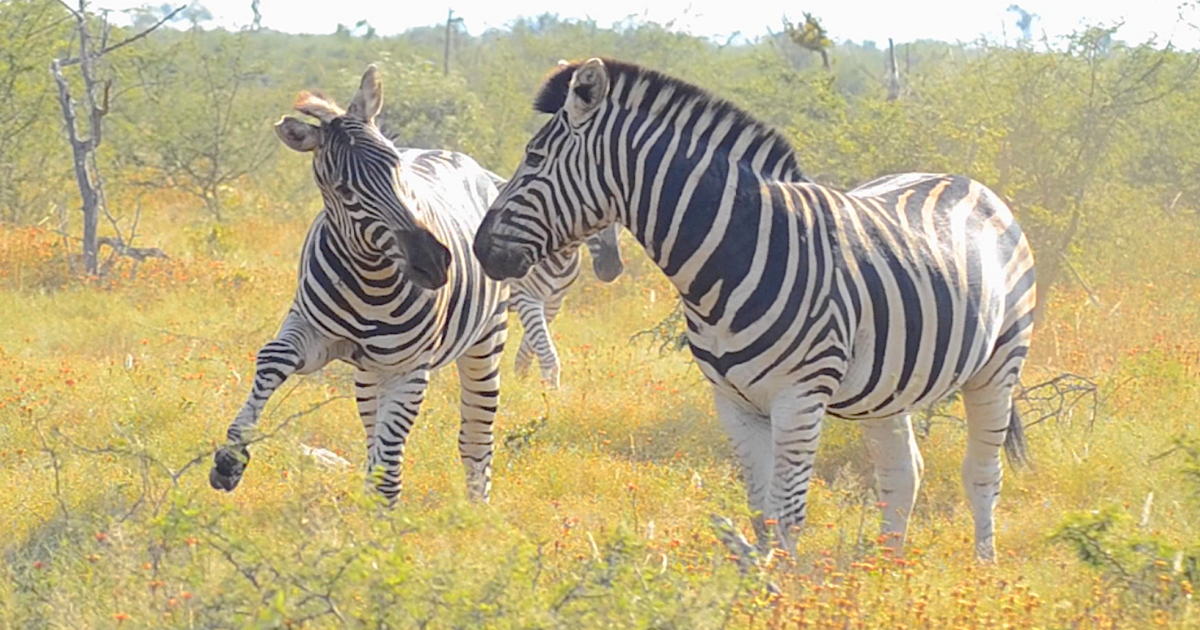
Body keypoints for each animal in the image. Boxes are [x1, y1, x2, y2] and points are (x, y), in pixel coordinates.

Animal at [209, 64, 509, 506]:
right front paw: (231, 458)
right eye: (344, 190)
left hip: (487, 339)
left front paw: (380, 522)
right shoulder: (314, 334)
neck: (372, 280)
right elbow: (273, 356)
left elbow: (389, 474)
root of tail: (463, 160)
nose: (433, 262)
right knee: (373, 435)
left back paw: (477, 511)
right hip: (370, 372)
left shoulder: (409, 370)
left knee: (474, 436)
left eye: (396, 166)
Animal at [472, 58, 1036, 561]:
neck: (731, 259)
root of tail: (964, 181)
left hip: (998, 365)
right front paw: (757, 586)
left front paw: (782, 590)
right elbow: (760, 510)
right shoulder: (733, 400)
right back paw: (883, 571)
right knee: (902, 473)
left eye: (534, 157)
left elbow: (788, 512)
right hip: (886, 389)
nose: (480, 250)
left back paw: (983, 567)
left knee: (982, 473)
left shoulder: (799, 397)